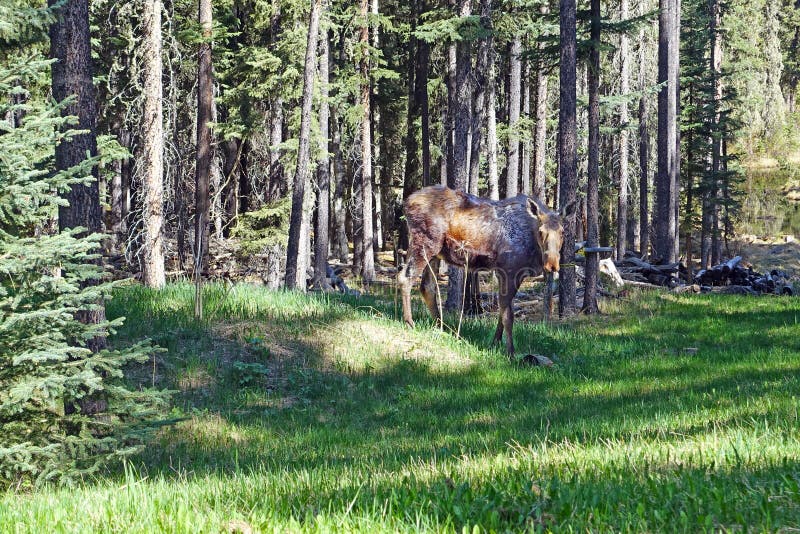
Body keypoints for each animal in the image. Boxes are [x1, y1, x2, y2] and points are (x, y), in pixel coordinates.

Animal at [397, 185, 569, 357]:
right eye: (541, 232)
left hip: (435, 252)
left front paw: (495, 342)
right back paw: (410, 323)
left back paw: (443, 328)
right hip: (425, 244)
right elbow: (508, 314)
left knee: (427, 286)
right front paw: (510, 352)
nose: (552, 265)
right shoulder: (507, 270)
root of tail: (406, 203)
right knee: (405, 278)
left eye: (562, 232)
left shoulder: (517, 274)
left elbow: (503, 309)